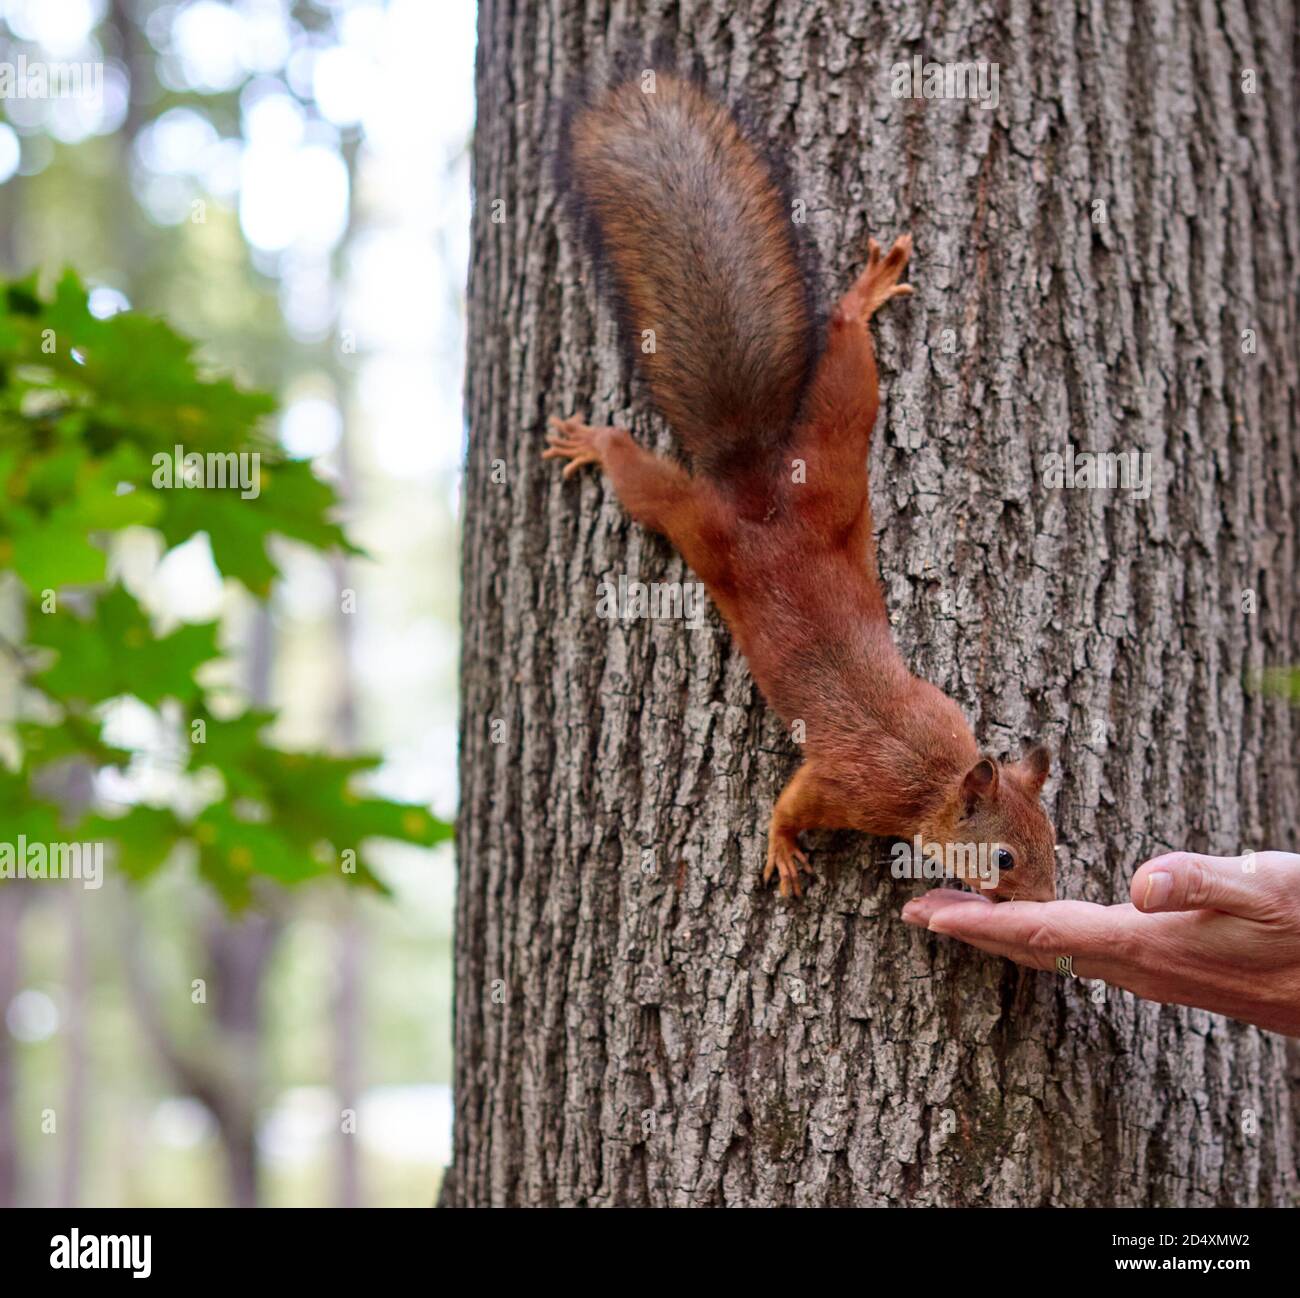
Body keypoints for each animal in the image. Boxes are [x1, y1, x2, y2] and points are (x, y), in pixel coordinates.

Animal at [544, 73, 1057, 903]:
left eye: (1054, 841)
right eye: (1006, 858)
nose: (1049, 903)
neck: (936, 774)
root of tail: (758, 490)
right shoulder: (852, 788)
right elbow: (795, 801)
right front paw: (783, 848)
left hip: (832, 473)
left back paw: (862, 298)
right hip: (703, 520)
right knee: (646, 484)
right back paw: (597, 441)